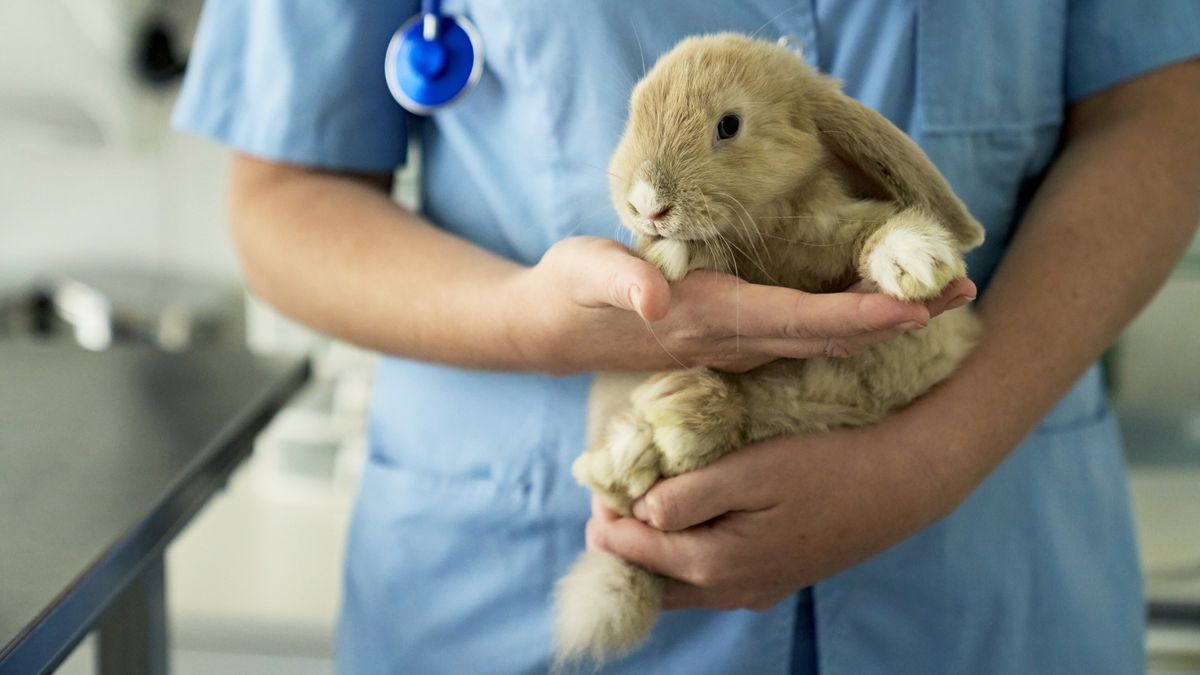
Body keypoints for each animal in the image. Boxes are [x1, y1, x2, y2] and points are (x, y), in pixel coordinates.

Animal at [553, 33, 985, 668]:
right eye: (634, 113)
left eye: (729, 125)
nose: (646, 205)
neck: (768, 228)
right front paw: (667, 255)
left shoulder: (833, 228)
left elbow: (871, 233)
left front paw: (917, 260)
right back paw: (636, 451)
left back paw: (668, 428)